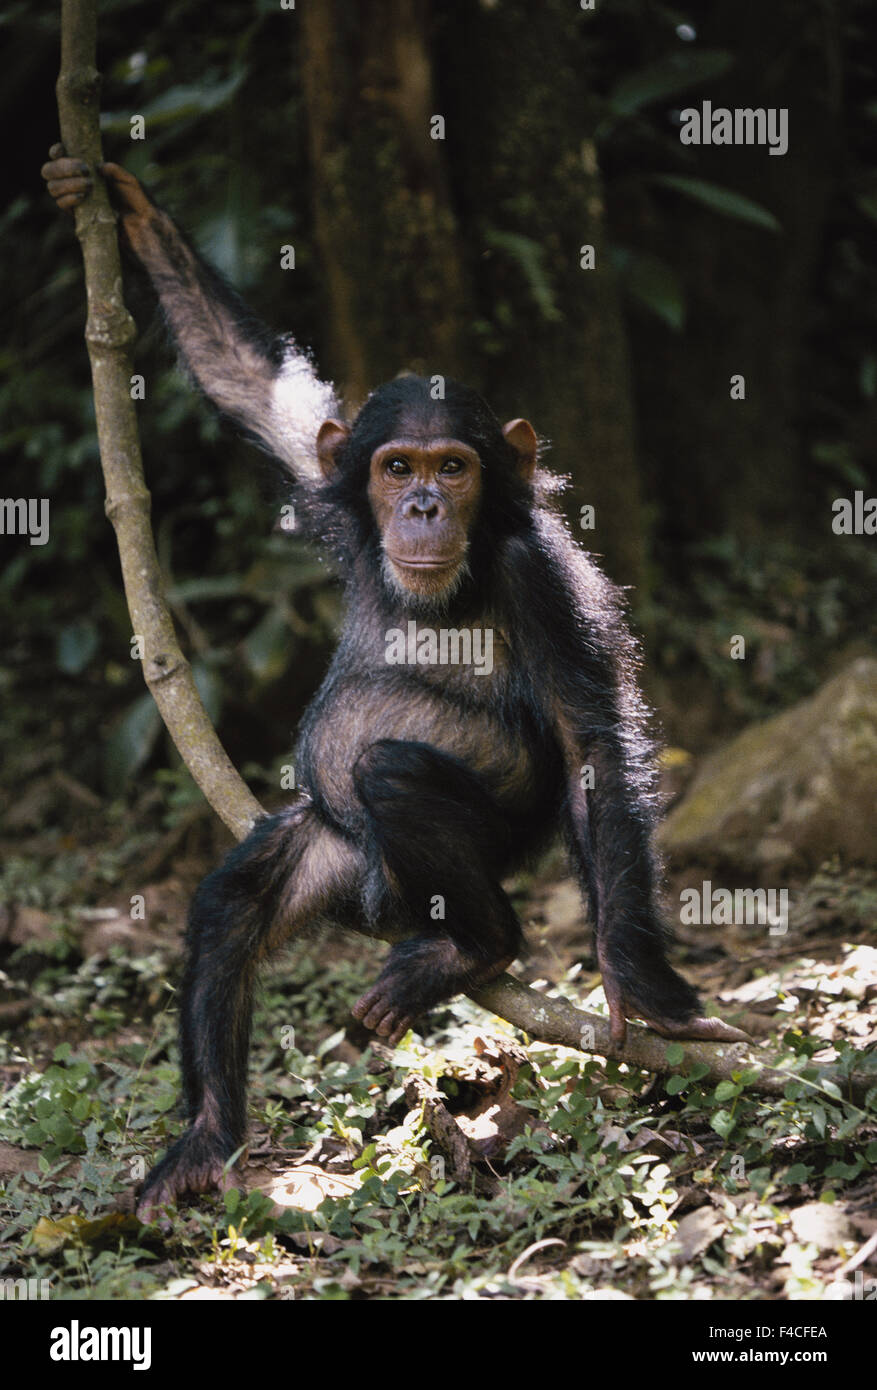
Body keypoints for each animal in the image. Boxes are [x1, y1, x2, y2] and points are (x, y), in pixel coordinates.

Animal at [42, 149, 745, 1218]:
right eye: (394, 464)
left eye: (453, 468)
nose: (419, 505)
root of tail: (375, 894)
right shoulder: (331, 497)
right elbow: (256, 387)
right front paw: (120, 200)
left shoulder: (546, 576)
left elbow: (591, 740)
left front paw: (641, 984)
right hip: (335, 861)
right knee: (234, 902)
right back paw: (207, 1136)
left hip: (442, 861)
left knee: (388, 772)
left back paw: (474, 949)